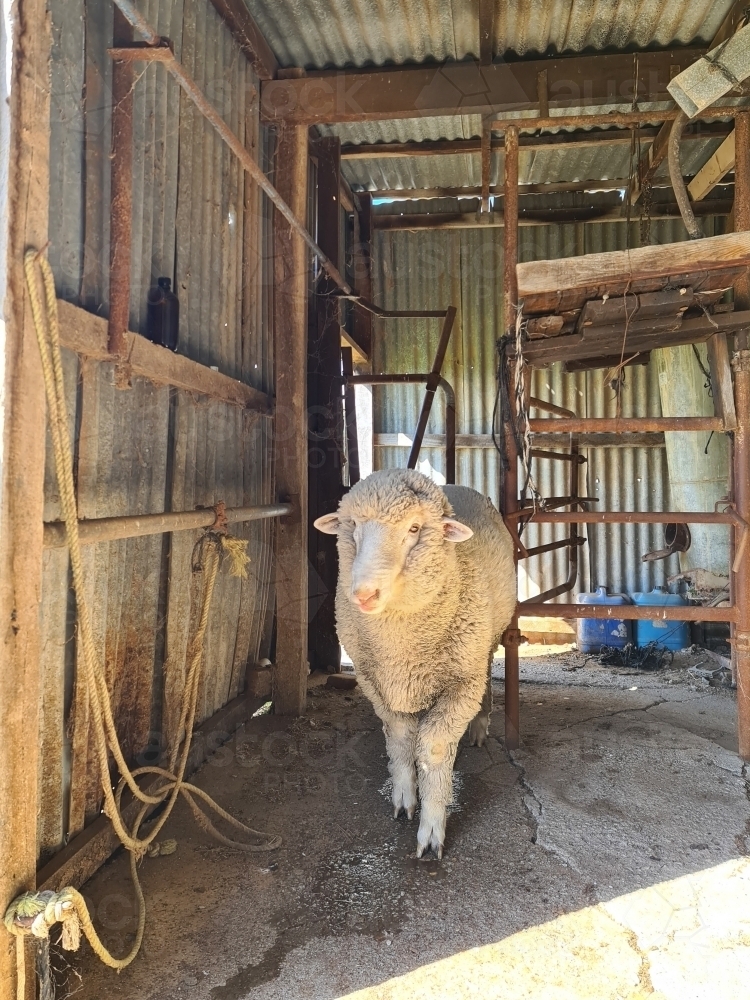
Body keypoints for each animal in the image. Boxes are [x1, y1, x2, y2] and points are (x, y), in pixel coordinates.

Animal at [314, 468, 516, 858]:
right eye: (353, 525)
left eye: (414, 528)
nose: (364, 594)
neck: (401, 647)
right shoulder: (375, 683)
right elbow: (400, 738)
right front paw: (405, 795)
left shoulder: (460, 685)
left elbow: (433, 747)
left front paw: (432, 827)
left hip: (484, 645)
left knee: (486, 676)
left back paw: (479, 726)